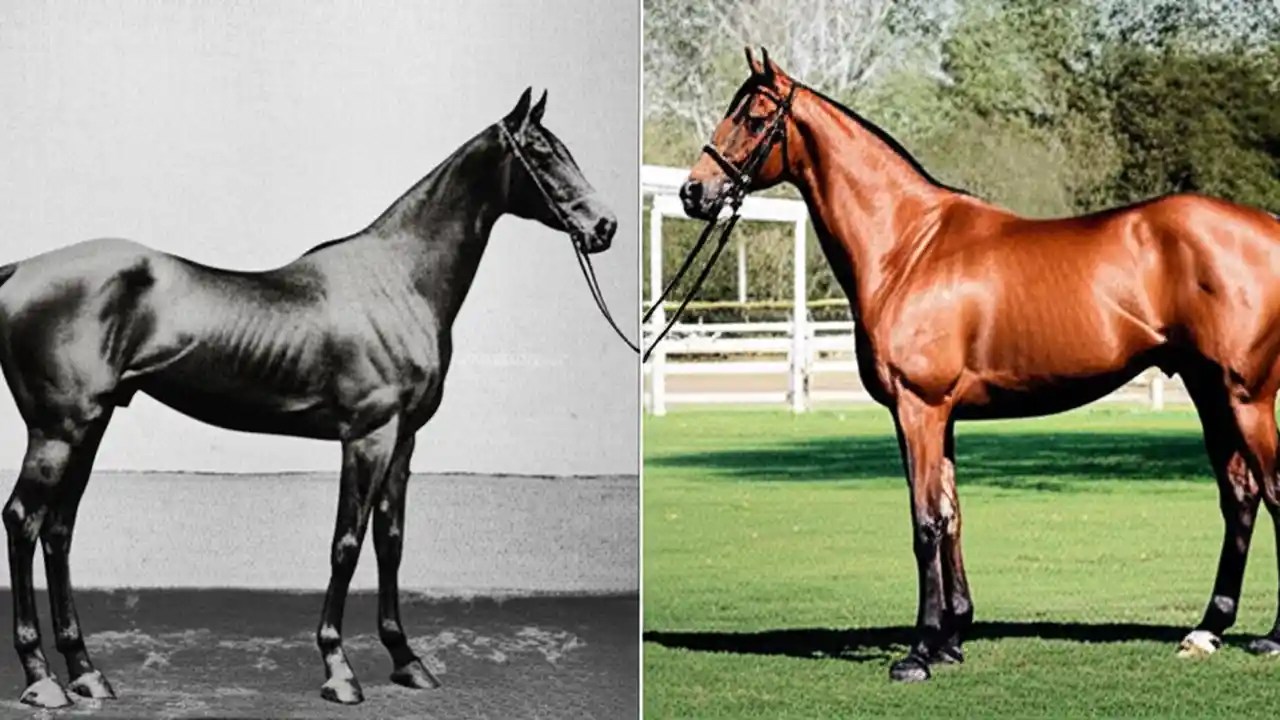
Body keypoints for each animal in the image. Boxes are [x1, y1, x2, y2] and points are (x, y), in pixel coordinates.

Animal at [0, 87, 618, 707]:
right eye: (542, 153)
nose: (605, 226)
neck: (399, 281)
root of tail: (19, 270)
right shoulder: (367, 437)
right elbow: (346, 544)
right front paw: (339, 668)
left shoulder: (404, 441)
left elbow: (390, 542)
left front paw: (406, 659)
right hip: (58, 431)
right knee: (23, 520)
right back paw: (40, 678)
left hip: (92, 425)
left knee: (58, 530)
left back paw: (85, 671)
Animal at [679, 48, 1280, 683]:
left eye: (753, 116)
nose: (694, 191)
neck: (907, 246)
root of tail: (1268, 226)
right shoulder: (940, 415)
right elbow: (951, 514)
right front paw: (951, 638)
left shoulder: (918, 408)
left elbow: (924, 522)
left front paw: (918, 653)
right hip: (1209, 391)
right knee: (1240, 495)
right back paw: (1208, 629)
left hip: (1247, 397)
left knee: (1272, 490)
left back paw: (1269, 637)